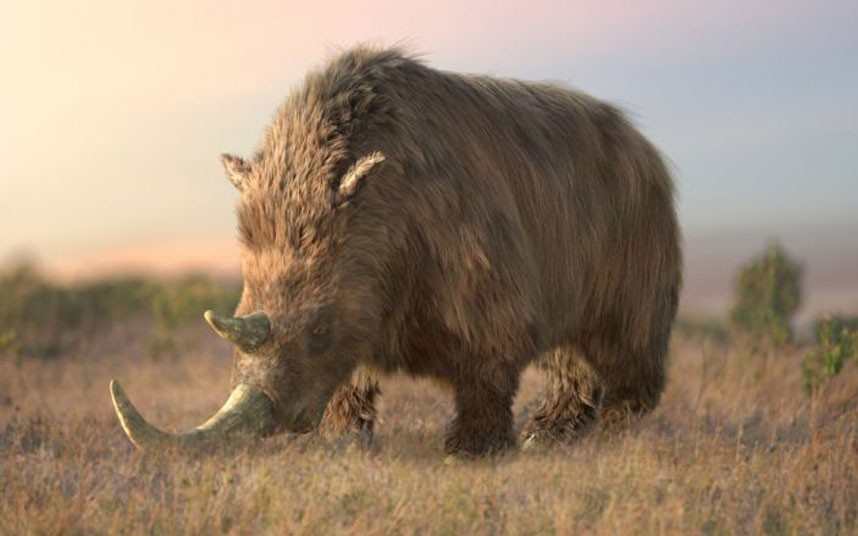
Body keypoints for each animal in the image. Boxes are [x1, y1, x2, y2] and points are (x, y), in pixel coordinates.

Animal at [111, 46, 681, 457]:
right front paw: (343, 441)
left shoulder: (482, 283)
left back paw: (609, 429)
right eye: (240, 310)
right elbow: (354, 375)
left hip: (637, 232)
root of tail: (645, 146)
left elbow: (487, 367)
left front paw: (471, 451)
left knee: (619, 339)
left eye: (318, 331)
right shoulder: (364, 297)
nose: (284, 424)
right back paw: (552, 433)